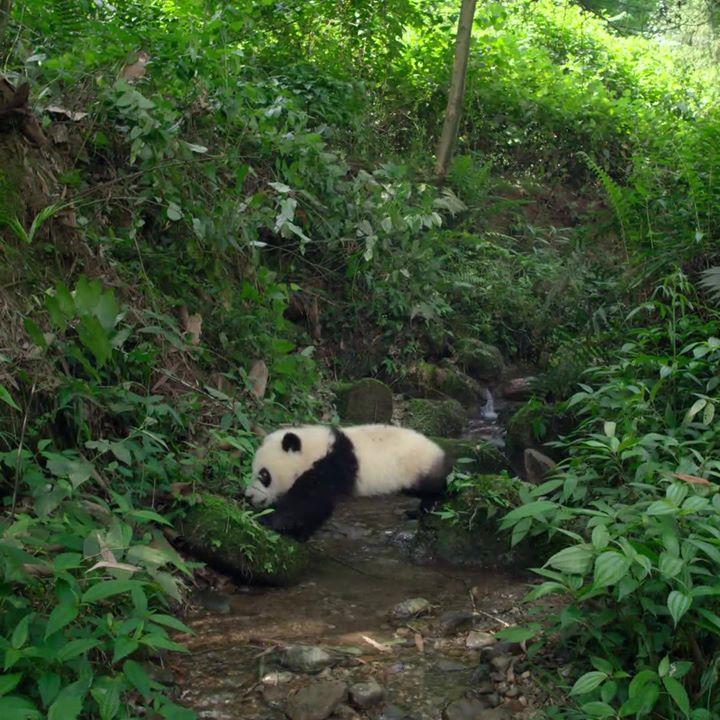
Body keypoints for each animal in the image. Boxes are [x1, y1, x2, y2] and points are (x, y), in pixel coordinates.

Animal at [245, 424, 452, 541]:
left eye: (264, 475)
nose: (248, 496)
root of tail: (440, 451)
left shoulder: (330, 467)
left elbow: (308, 503)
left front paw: (269, 520)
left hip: (417, 465)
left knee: (434, 487)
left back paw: (428, 504)